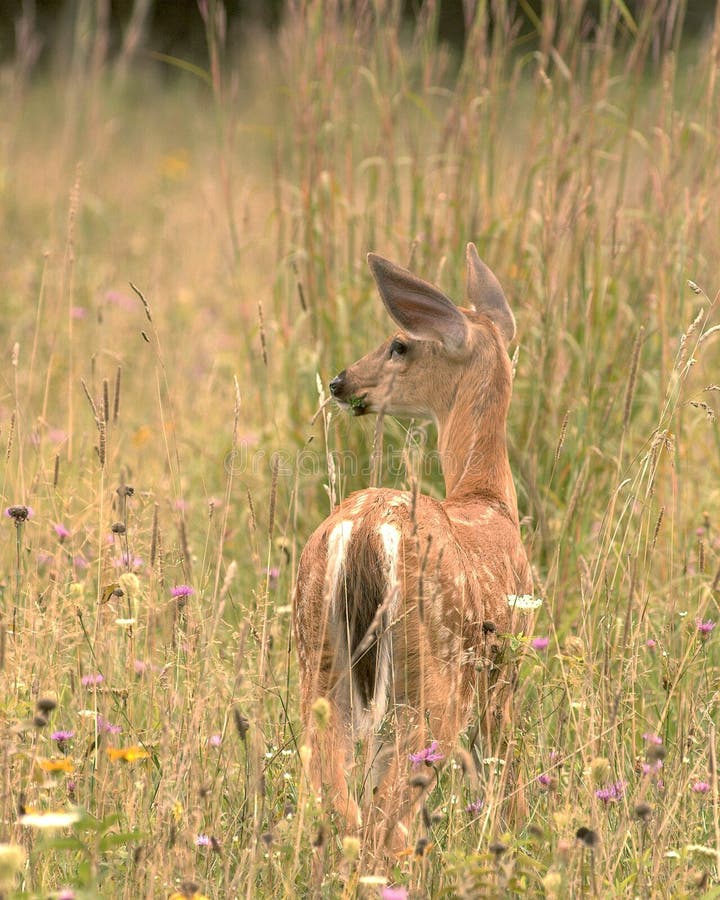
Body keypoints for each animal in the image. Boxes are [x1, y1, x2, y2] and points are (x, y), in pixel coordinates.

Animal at [293, 243, 532, 854]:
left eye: (399, 343)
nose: (340, 381)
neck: (488, 500)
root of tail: (363, 533)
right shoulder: (506, 670)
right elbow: (507, 776)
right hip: (431, 680)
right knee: (385, 826)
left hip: (318, 658)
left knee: (337, 804)